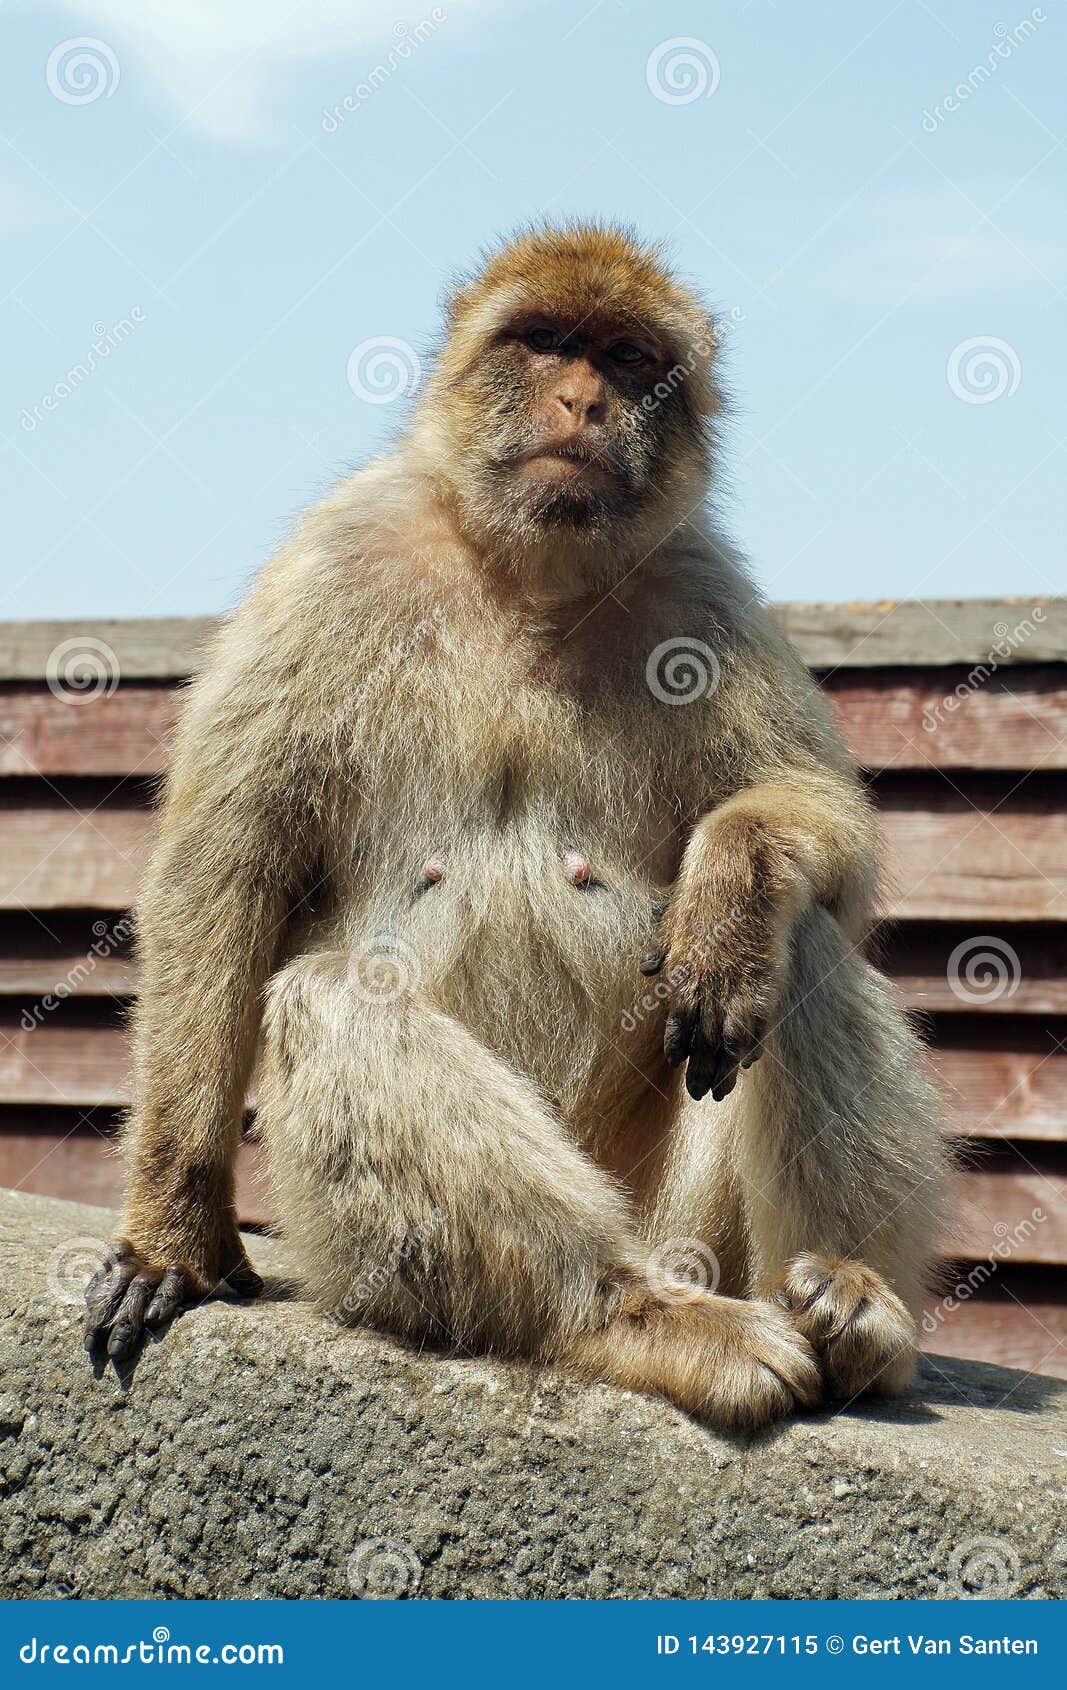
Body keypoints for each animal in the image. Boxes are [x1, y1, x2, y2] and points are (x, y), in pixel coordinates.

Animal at [85, 222, 945, 1431]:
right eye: (543, 342)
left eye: (627, 358)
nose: (582, 401)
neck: (528, 572)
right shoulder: (329, 563)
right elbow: (225, 875)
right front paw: (173, 1234)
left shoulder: (700, 588)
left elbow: (829, 836)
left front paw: (727, 896)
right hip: (384, 1256)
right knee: (334, 997)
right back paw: (632, 1317)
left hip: (683, 1218)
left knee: (808, 938)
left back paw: (852, 1302)